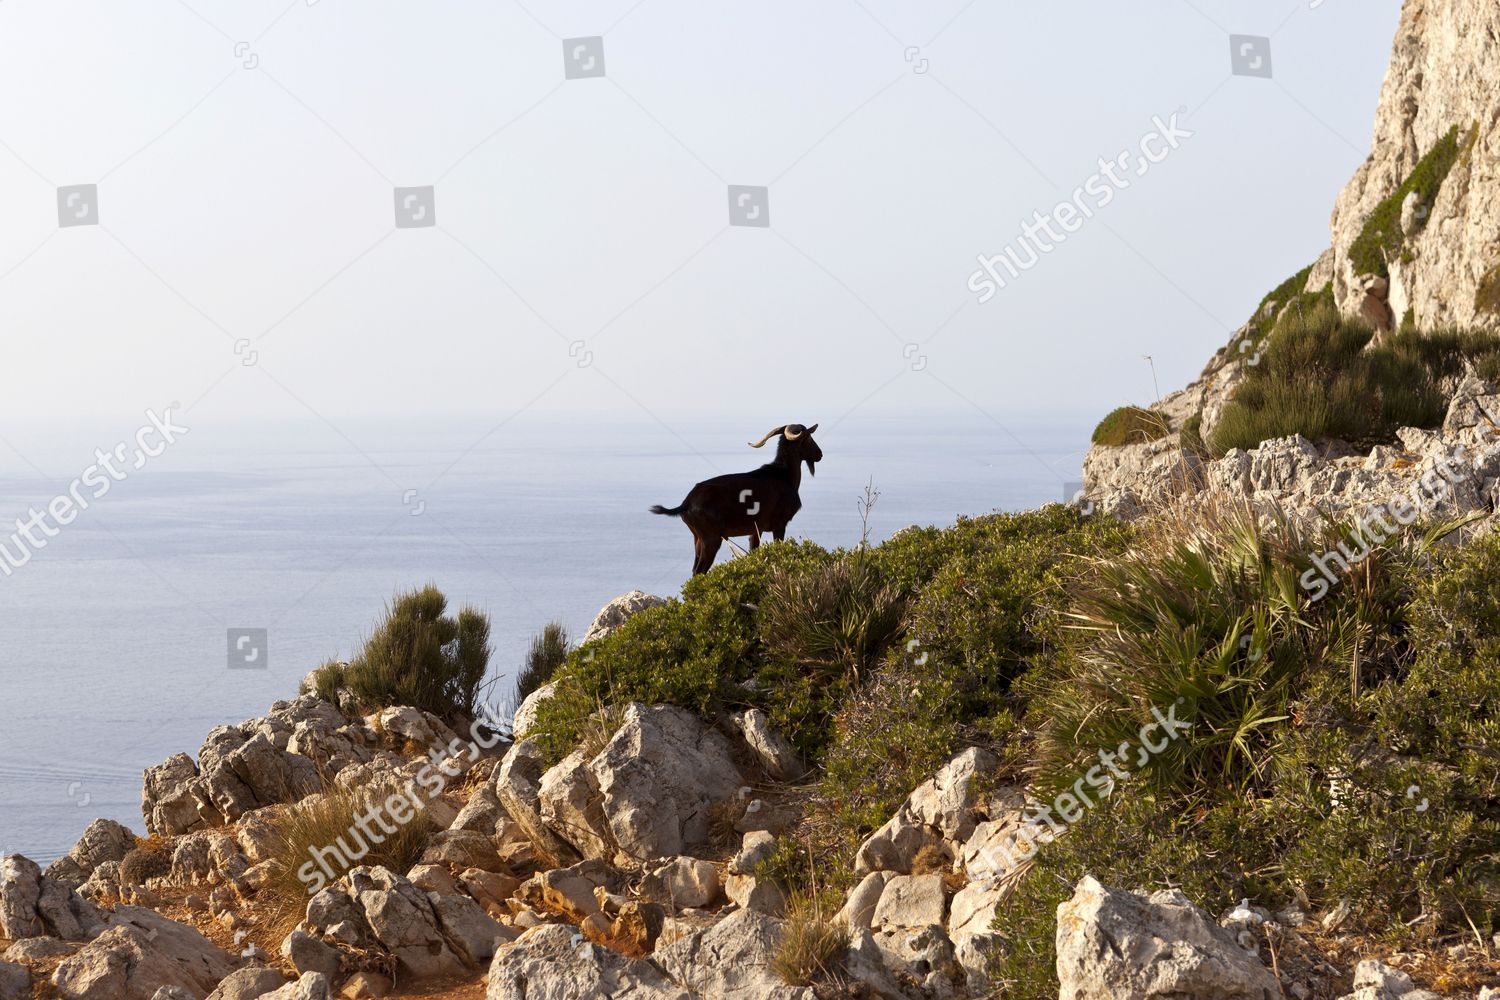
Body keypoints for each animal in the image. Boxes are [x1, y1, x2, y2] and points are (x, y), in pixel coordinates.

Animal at [650, 423, 822, 576]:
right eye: (808, 437)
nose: (819, 454)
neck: (784, 475)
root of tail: (686, 503)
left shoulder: (756, 529)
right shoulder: (779, 525)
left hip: (697, 538)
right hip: (710, 538)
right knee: (700, 570)